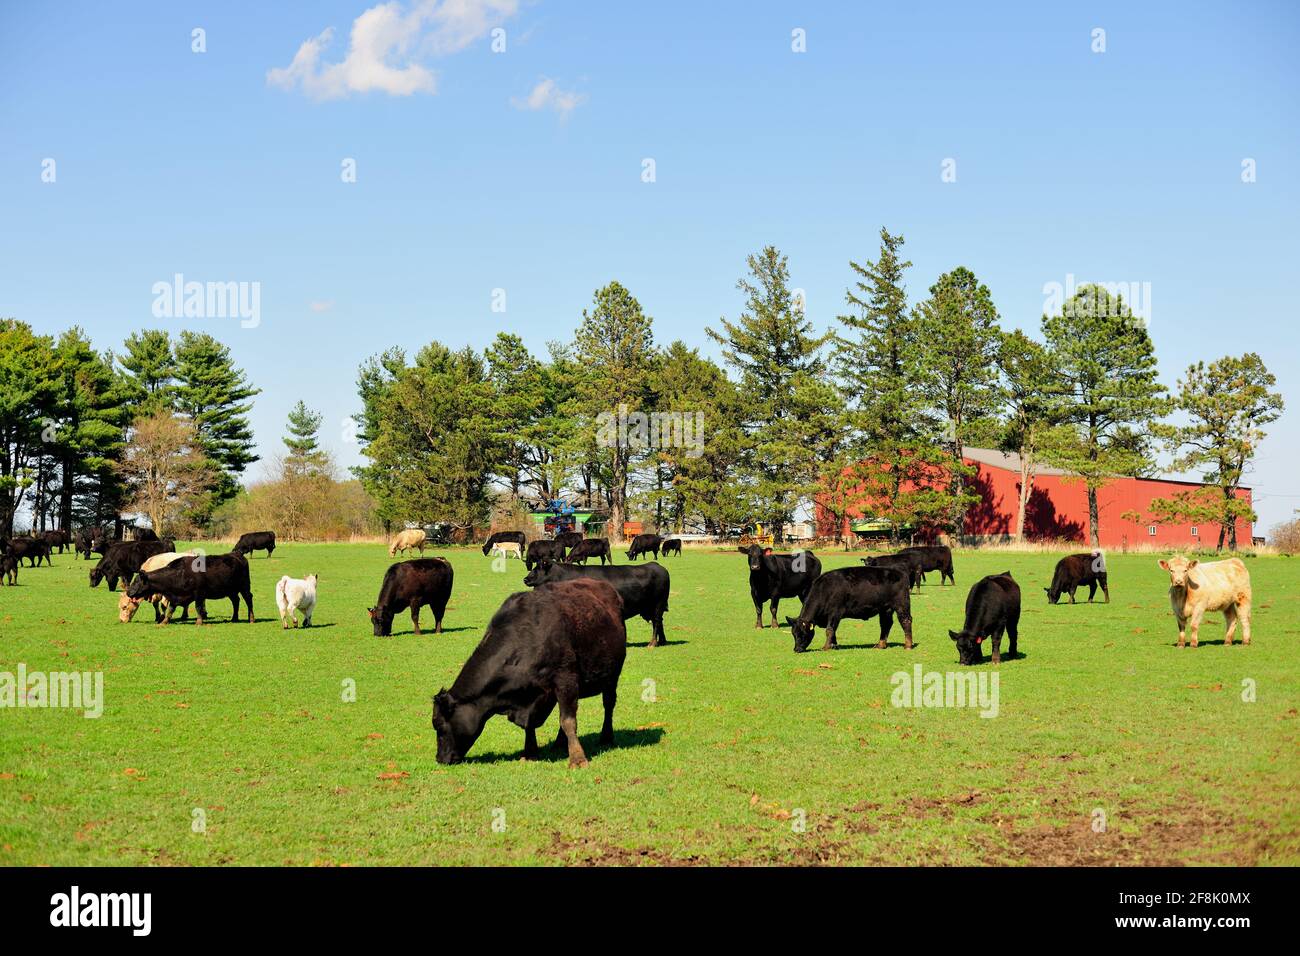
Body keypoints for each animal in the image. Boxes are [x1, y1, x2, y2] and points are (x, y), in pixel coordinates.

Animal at [431, 578, 627, 768]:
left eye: (439, 726)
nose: (440, 758)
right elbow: (532, 724)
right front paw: (530, 753)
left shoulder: (566, 681)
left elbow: (568, 721)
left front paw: (577, 759)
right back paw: (560, 743)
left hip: (612, 676)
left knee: (608, 704)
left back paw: (606, 736)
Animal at [524, 557, 671, 647]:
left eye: (537, 568)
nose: (525, 579)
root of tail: (656, 565)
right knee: (659, 622)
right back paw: (662, 641)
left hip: (658, 605)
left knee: (657, 622)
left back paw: (653, 643)